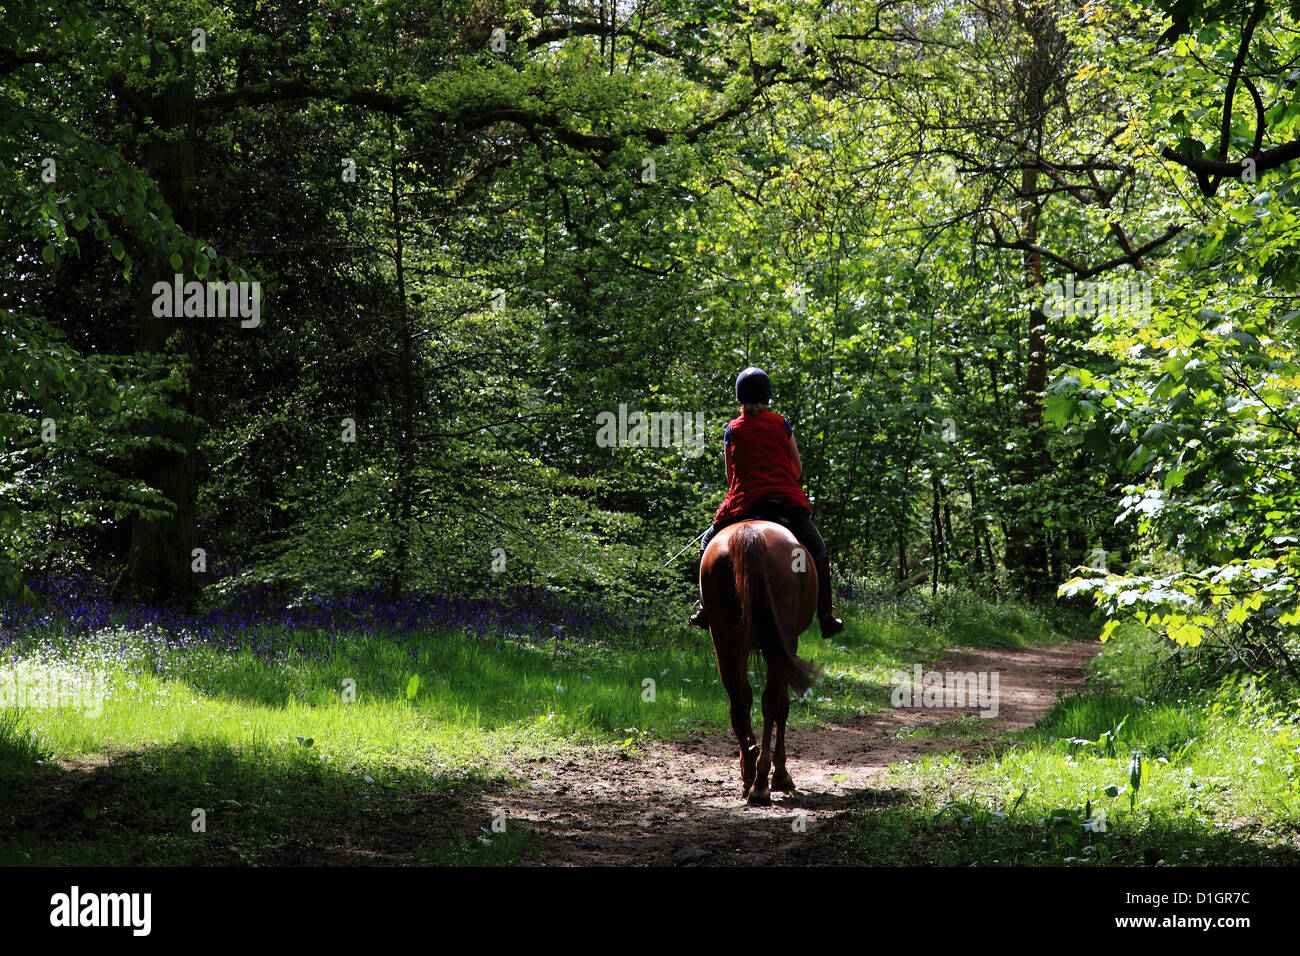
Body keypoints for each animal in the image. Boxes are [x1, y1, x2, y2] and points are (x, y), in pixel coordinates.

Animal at [699, 519, 821, 805]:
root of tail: (750, 534)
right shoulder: (789, 642)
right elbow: (782, 706)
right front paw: (782, 774)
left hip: (724, 639)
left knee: (739, 700)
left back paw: (748, 775)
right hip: (777, 638)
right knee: (770, 702)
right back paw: (762, 782)